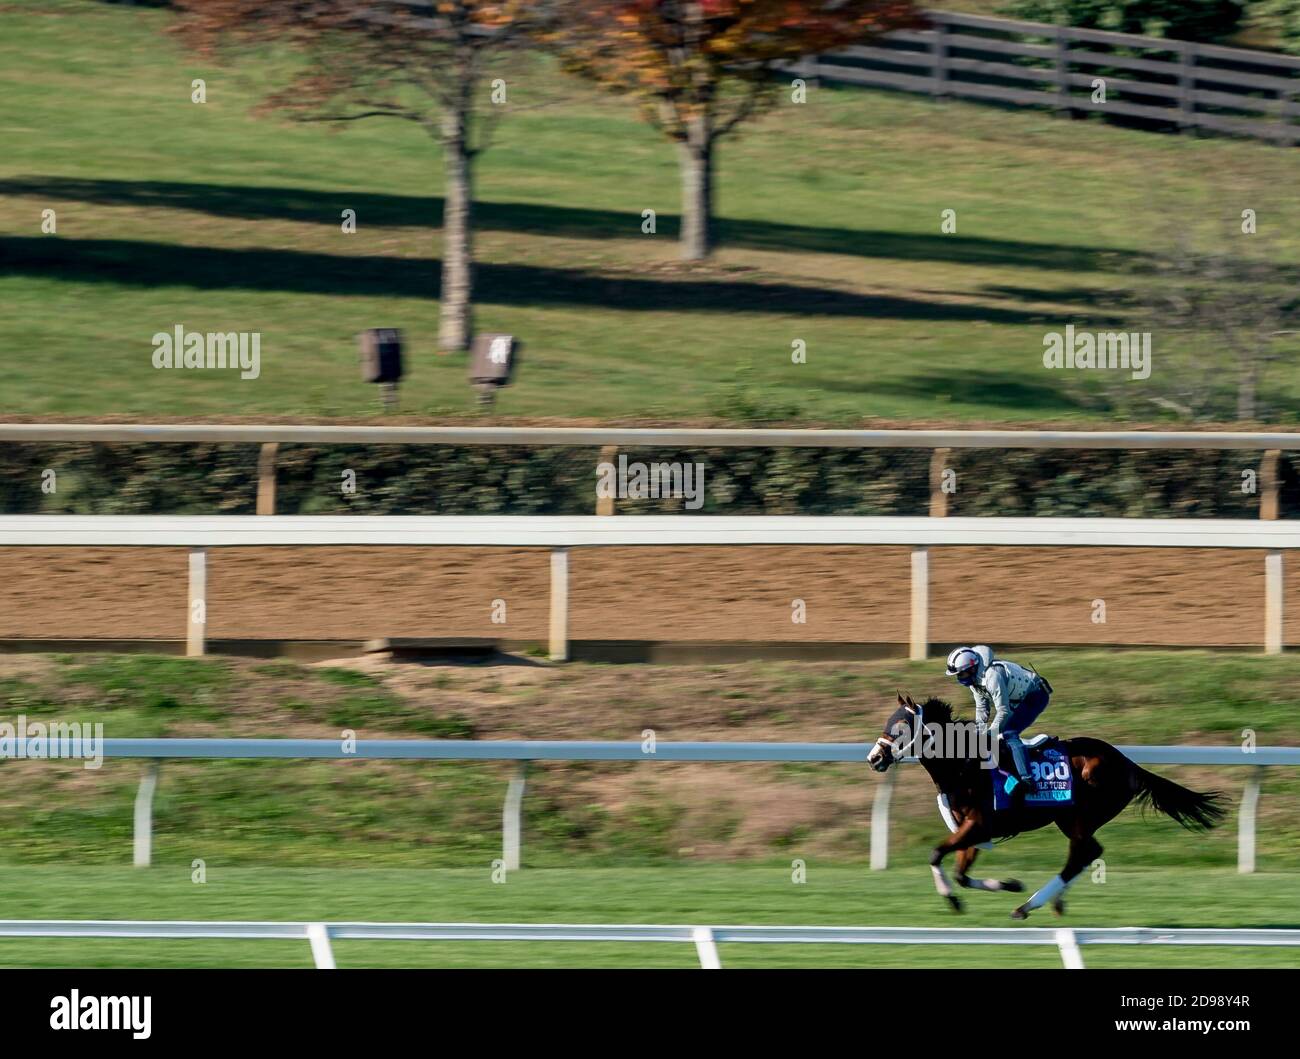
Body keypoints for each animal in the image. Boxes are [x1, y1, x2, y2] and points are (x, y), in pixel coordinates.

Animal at [867, 692, 1226, 919]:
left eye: (901, 727)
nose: (874, 758)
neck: (964, 766)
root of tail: (1128, 763)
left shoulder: (978, 826)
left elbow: (935, 854)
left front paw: (953, 900)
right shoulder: (974, 832)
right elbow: (961, 873)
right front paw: (1009, 884)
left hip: (1082, 816)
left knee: (1081, 855)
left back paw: (1028, 907)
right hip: (1071, 820)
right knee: (1087, 853)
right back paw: (1051, 902)